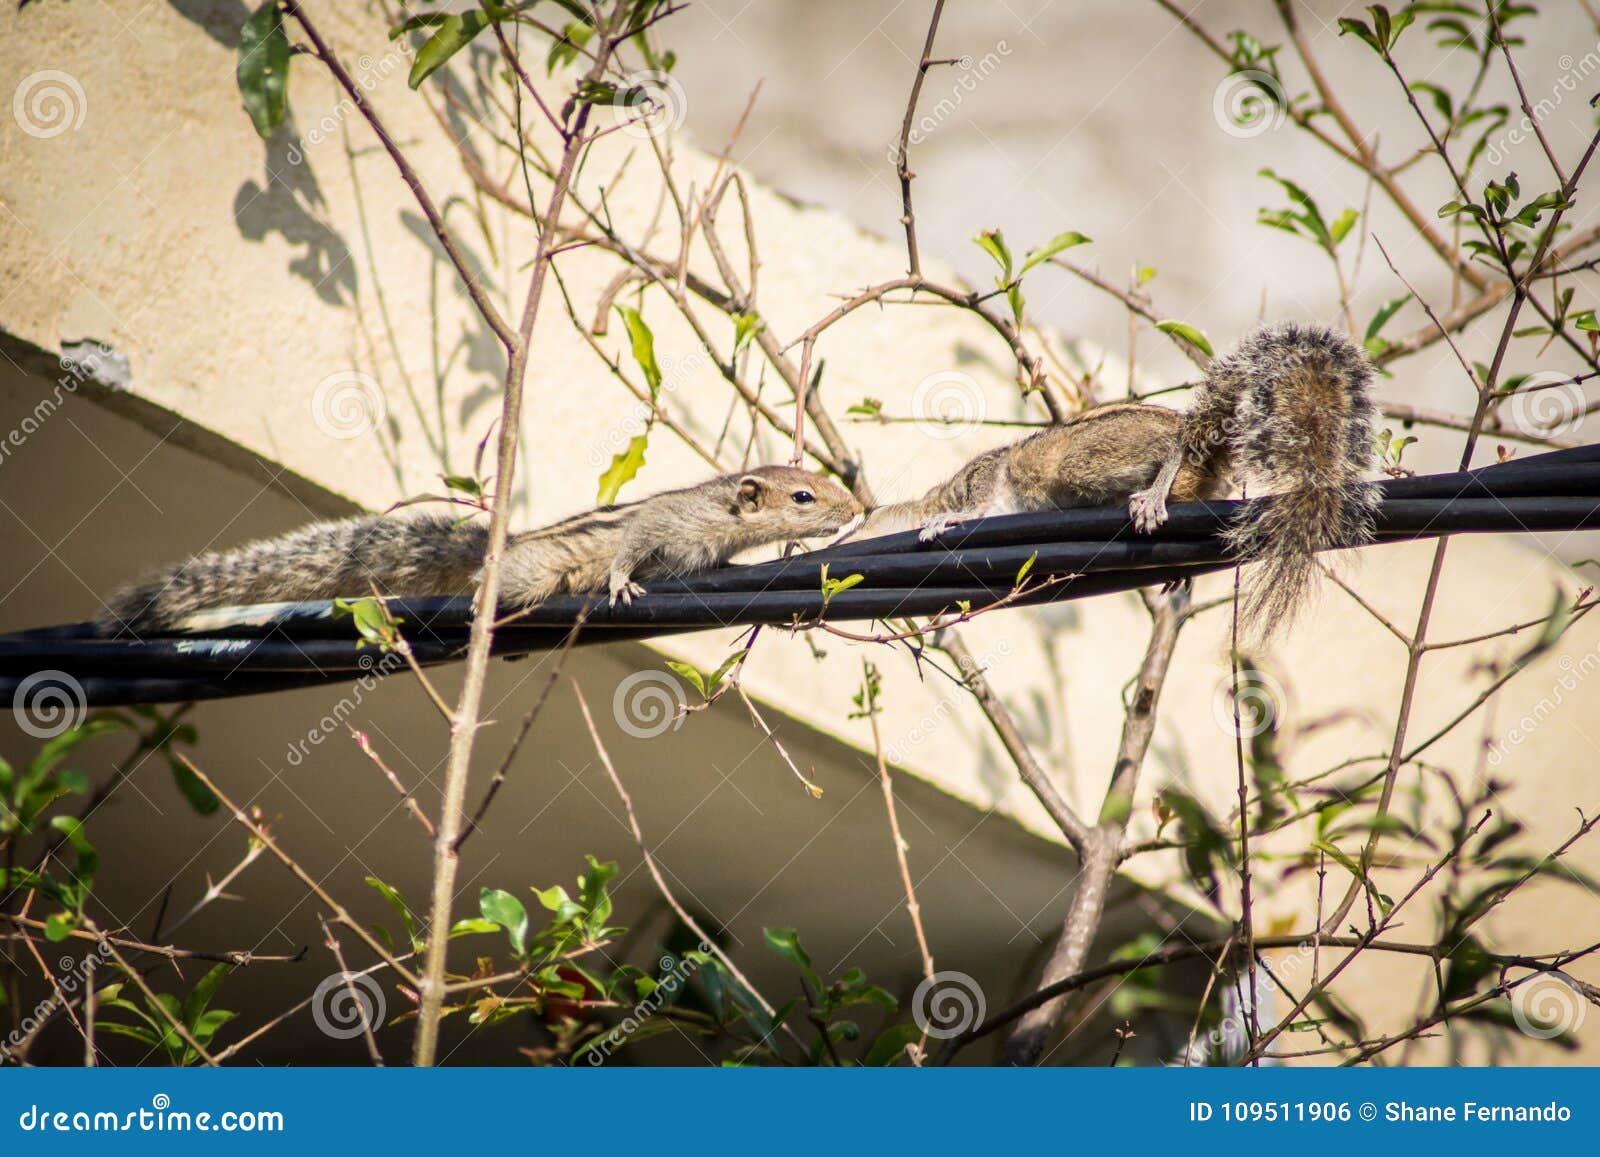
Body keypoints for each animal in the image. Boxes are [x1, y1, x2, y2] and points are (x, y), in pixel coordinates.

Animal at [856, 323, 1379, 635]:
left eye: (862, 524)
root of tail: (1203, 436)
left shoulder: (982, 478)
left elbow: (973, 506)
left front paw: (941, 522)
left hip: (1091, 460)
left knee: (1169, 451)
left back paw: (1153, 493)